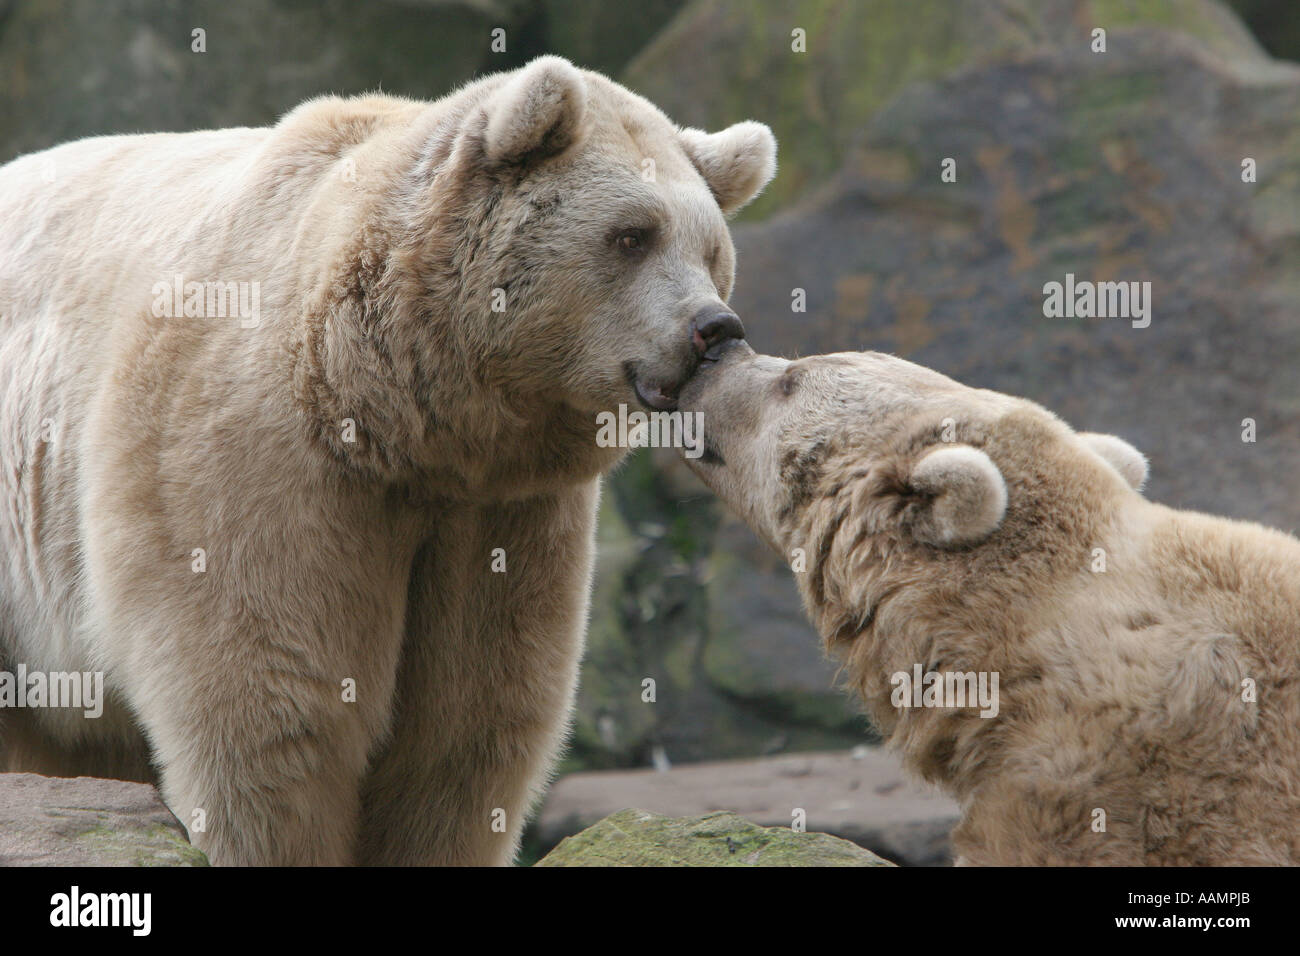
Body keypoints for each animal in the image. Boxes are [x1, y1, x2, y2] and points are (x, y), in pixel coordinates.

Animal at [0, 56, 776, 865]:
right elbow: (269, 706)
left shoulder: (501, 512)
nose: (713, 328)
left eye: (711, 251)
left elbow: (466, 729)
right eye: (632, 235)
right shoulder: (246, 454)